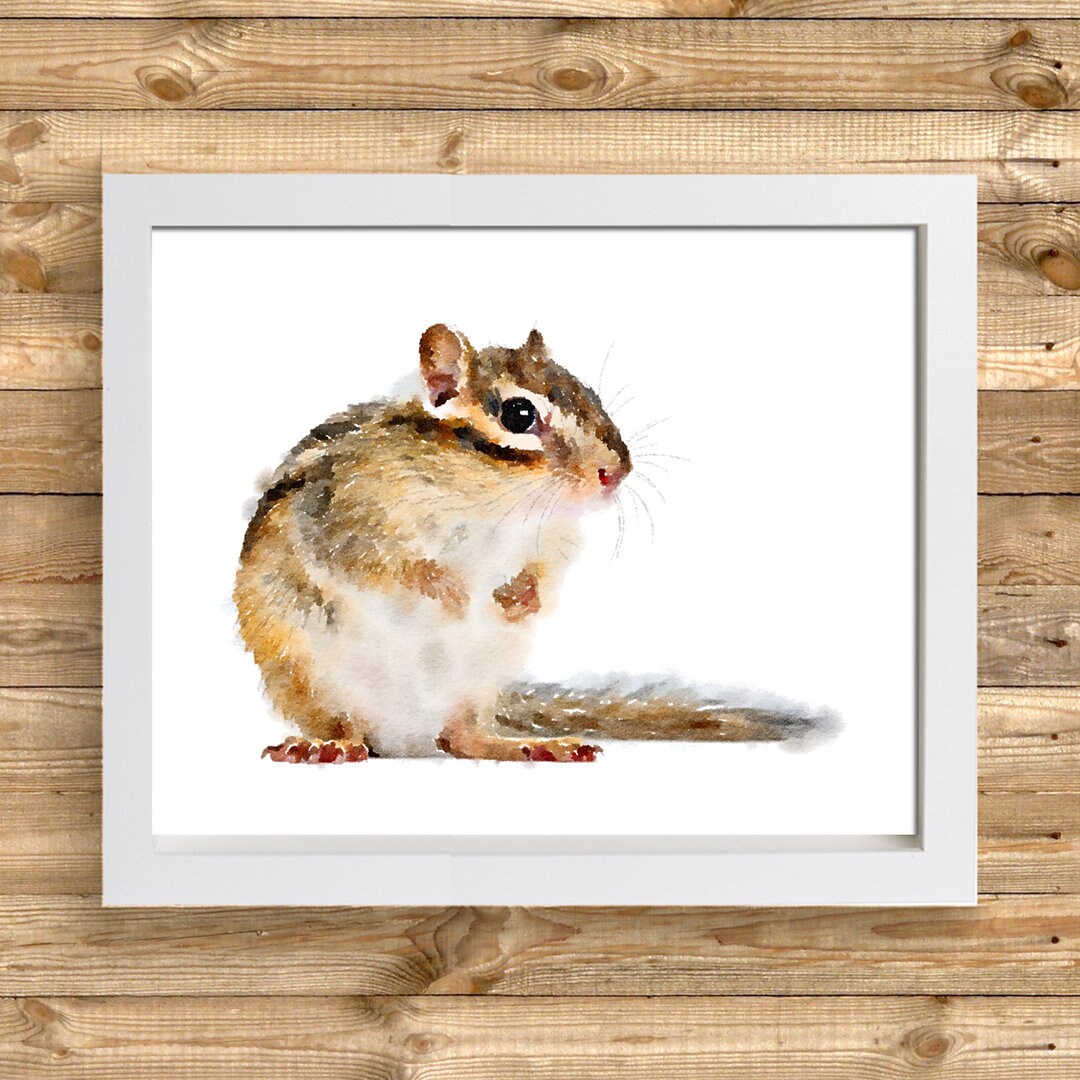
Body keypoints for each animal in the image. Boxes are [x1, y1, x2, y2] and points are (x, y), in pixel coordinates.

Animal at [234, 324, 632, 763]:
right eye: (518, 414)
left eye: (590, 395)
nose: (617, 472)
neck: (496, 504)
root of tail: (405, 735)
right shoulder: (348, 518)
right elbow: (388, 563)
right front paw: (450, 592)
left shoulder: (552, 539)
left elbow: (541, 572)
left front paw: (520, 598)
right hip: (305, 673)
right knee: (348, 729)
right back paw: (325, 746)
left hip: (477, 683)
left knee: (461, 739)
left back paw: (536, 746)